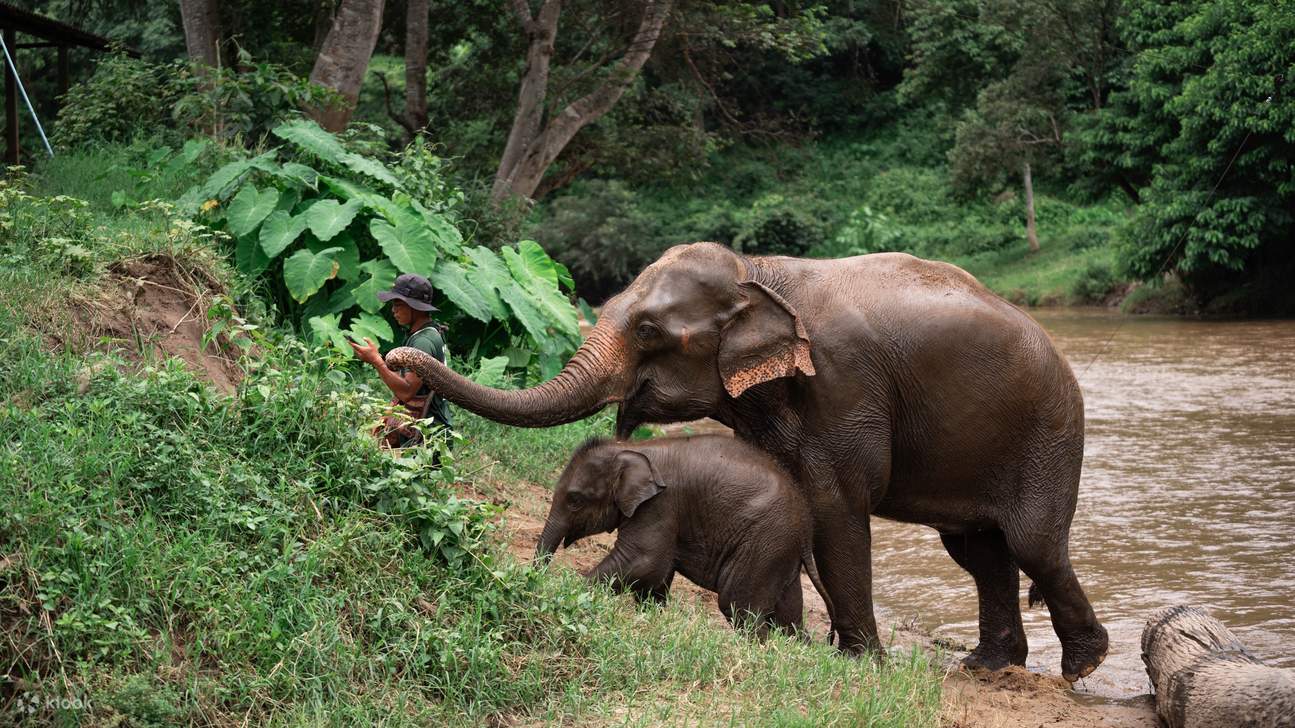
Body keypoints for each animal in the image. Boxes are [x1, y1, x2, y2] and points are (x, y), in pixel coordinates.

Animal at [535, 435, 836, 640]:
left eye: (575, 500)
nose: (538, 579)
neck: (633, 447)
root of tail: (806, 527)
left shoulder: (659, 506)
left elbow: (644, 561)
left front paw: (573, 591)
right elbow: (655, 578)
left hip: (764, 543)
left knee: (739, 607)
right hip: (780, 552)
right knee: (788, 618)